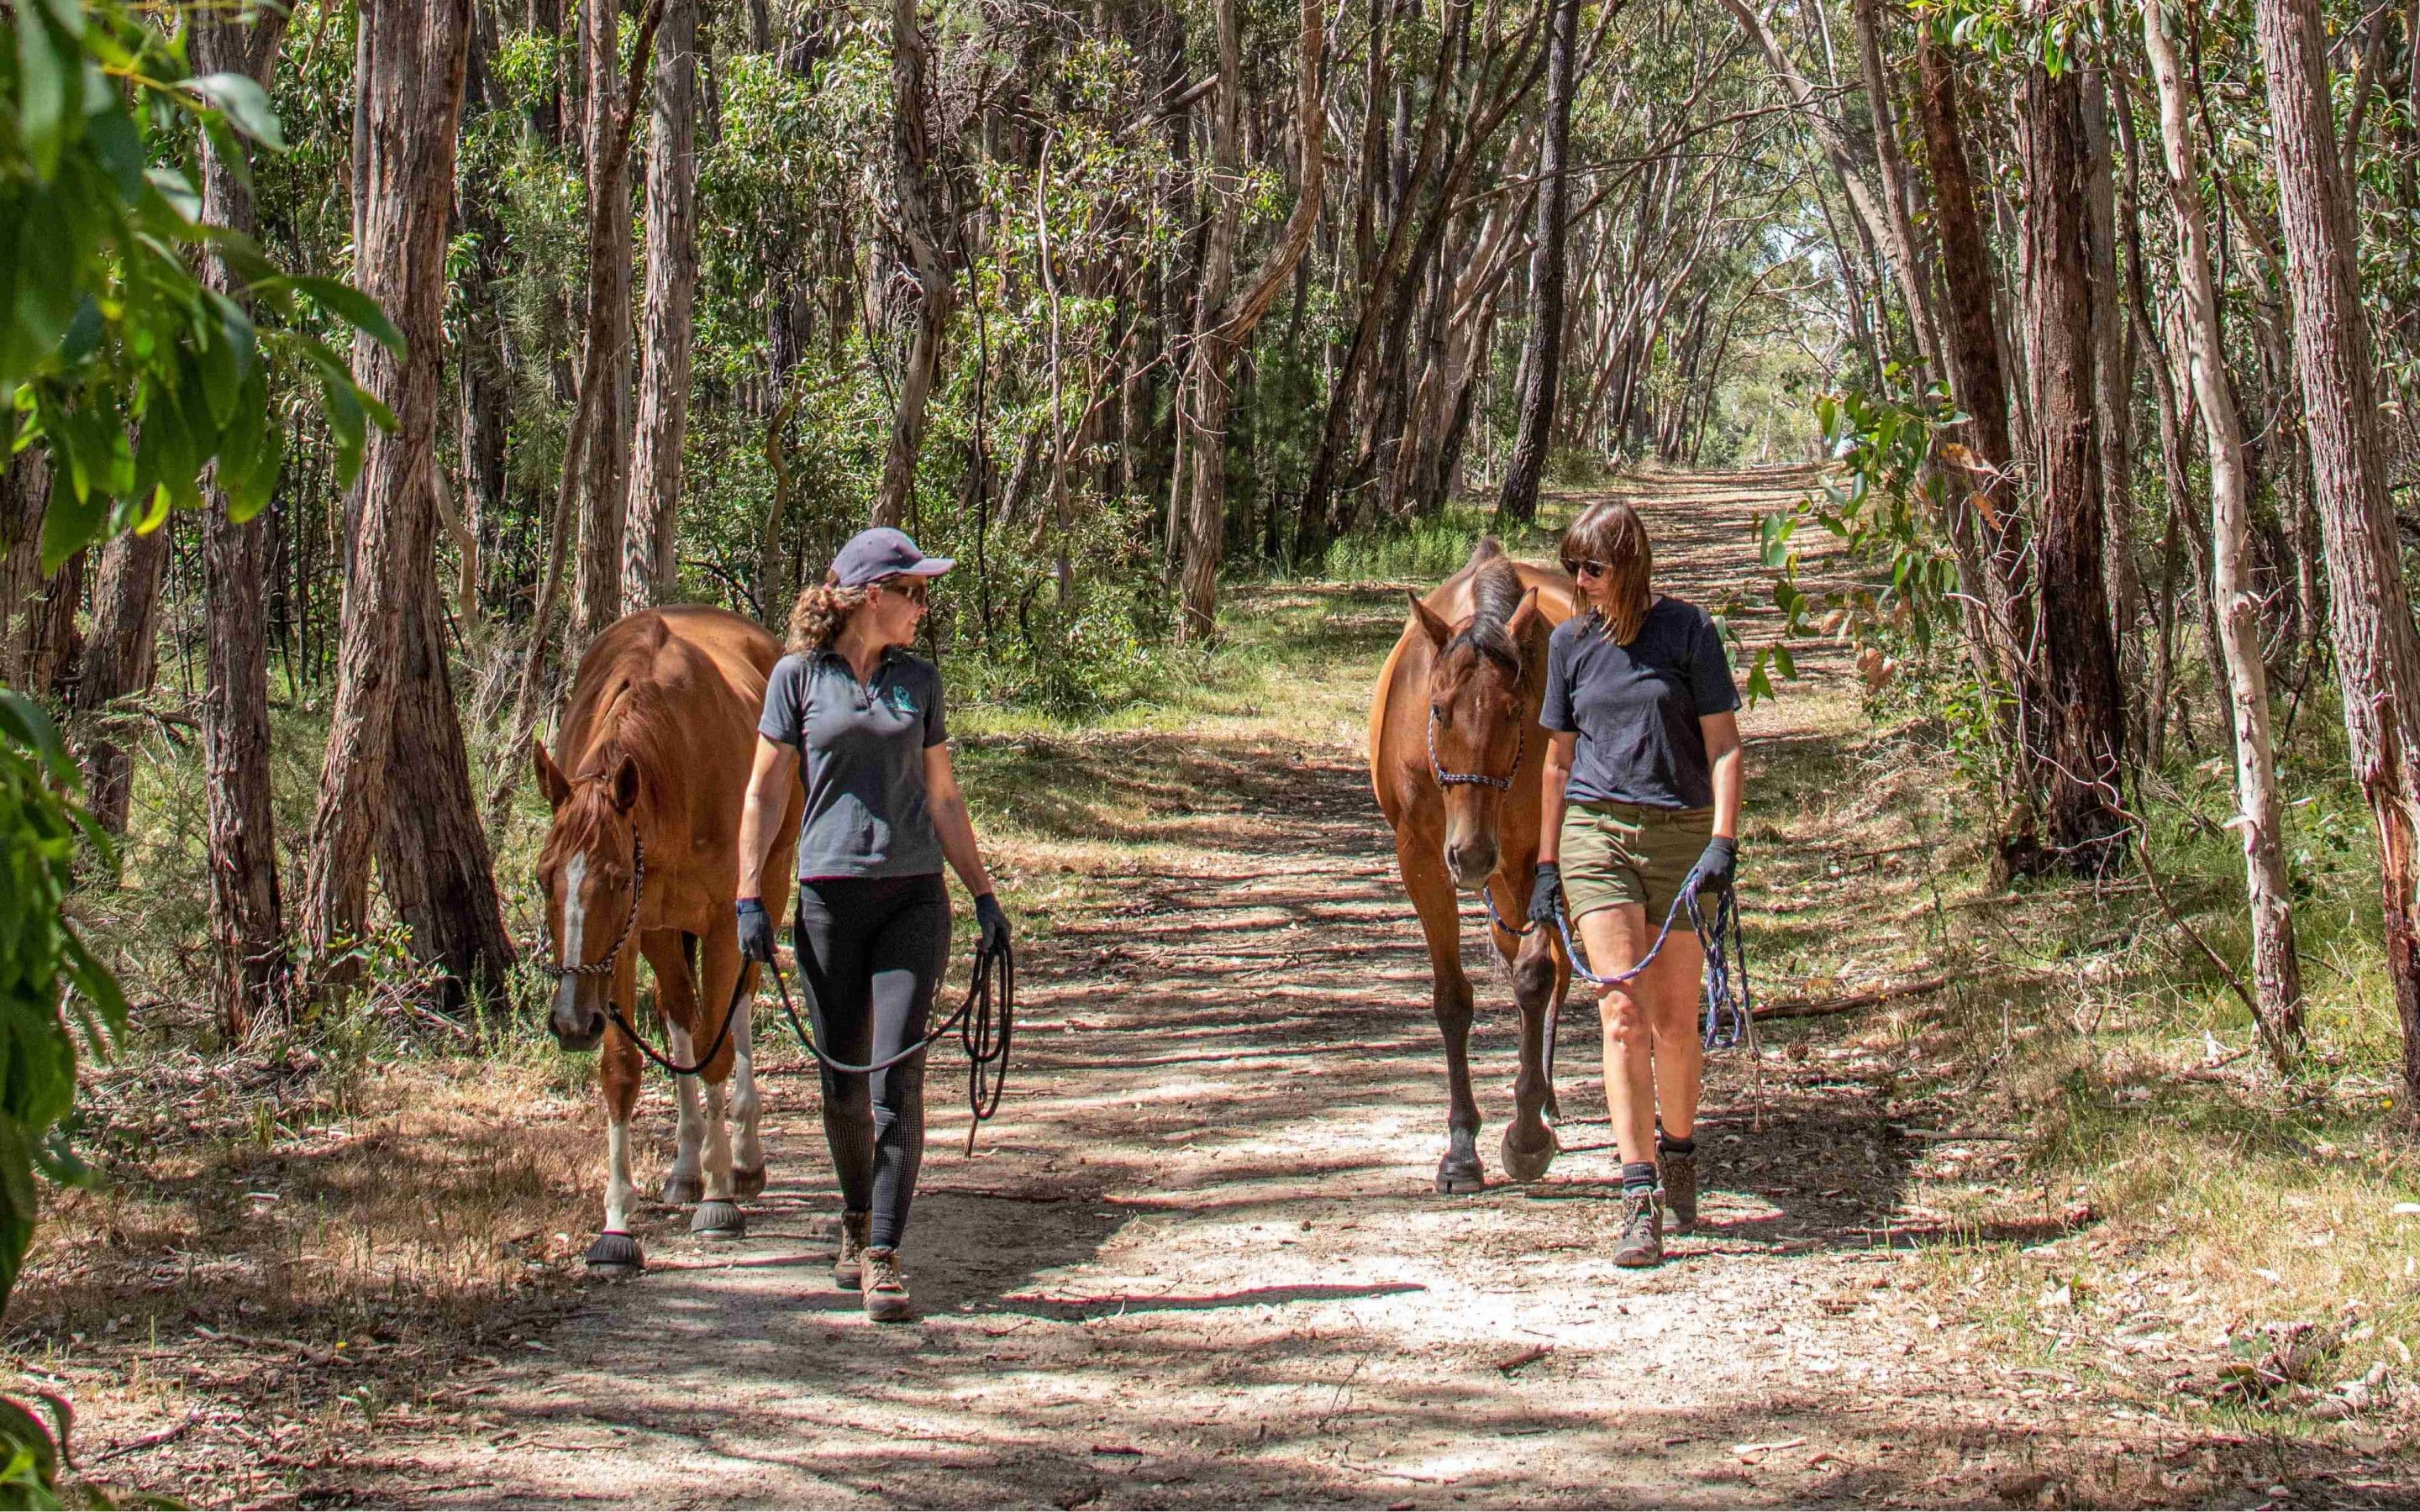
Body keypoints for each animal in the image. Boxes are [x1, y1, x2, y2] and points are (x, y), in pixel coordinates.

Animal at [532, 605, 803, 1275]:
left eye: (614, 877)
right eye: (545, 877)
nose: (570, 1021)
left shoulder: (723, 920)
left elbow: (718, 1046)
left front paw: (721, 1197)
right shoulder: (625, 940)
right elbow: (623, 1068)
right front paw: (616, 1224)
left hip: (769, 884)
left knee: (738, 1006)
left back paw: (743, 1157)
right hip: (658, 931)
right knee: (680, 1013)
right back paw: (685, 1168)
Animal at [1369, 538, 1583, 1192]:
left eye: (1517, 712)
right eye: (1437, 710)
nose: (1471, 854)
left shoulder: (1539, 857)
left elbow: (1537, 976)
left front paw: (1527, 1136)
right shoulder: (1421, 861)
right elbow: (1452, 1000)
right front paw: (1462, 1148)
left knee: (1554, 970)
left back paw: (1544, 1102)